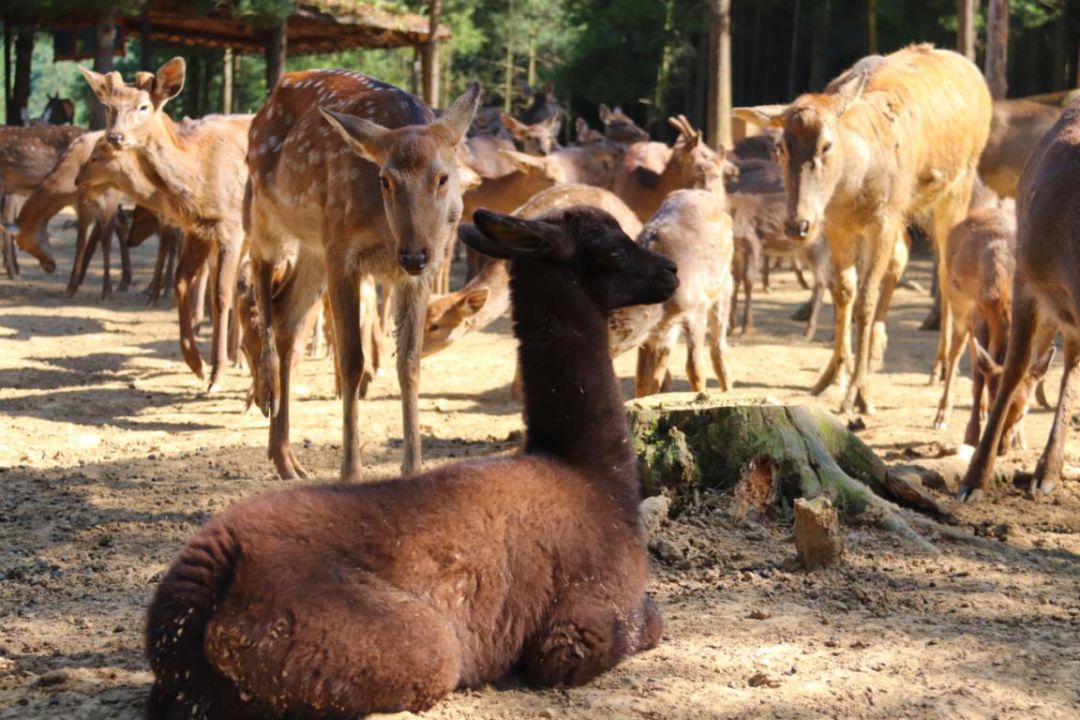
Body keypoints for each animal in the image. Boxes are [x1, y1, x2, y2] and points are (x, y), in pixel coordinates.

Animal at [77, 60, 251, 392]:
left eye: (143, 106)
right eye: (108, 107)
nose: (116, 137)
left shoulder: (232, 227)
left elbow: (221, 294)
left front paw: (217, 374)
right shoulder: (198, 230)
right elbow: (181, 283)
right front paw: (197, 363)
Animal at [145, 205, 671, 719]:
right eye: (613, 247)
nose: (669, 271)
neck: (589, 474)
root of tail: (217, 561)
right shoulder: (582, 620)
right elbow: (648, 621)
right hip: (402, 642)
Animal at [245, 69, 479, 481]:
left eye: (443, 178)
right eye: (385, 179)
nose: (414, 254)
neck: (387, 232)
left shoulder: (419, 273)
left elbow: (409, 362)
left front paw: (413, 468)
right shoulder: (343, 252)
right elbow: (352, 360)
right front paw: (350, 472)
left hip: (315, 246)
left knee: (288, 316)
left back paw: (287, 460)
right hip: (267, 209)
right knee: (261, 277)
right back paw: (265, 387)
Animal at [735, 45, 992, 415]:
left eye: (826, 145)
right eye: (780, 146)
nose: (798, 223)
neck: (852, 191)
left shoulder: (882, 221)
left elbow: (865, 302)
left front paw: (858, 395)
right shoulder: (838, 226)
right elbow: (843, 291)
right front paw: (832, 375)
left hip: (956, 188)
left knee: (945, 269)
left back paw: (940, 367)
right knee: (903, 256)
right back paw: (876, 353)